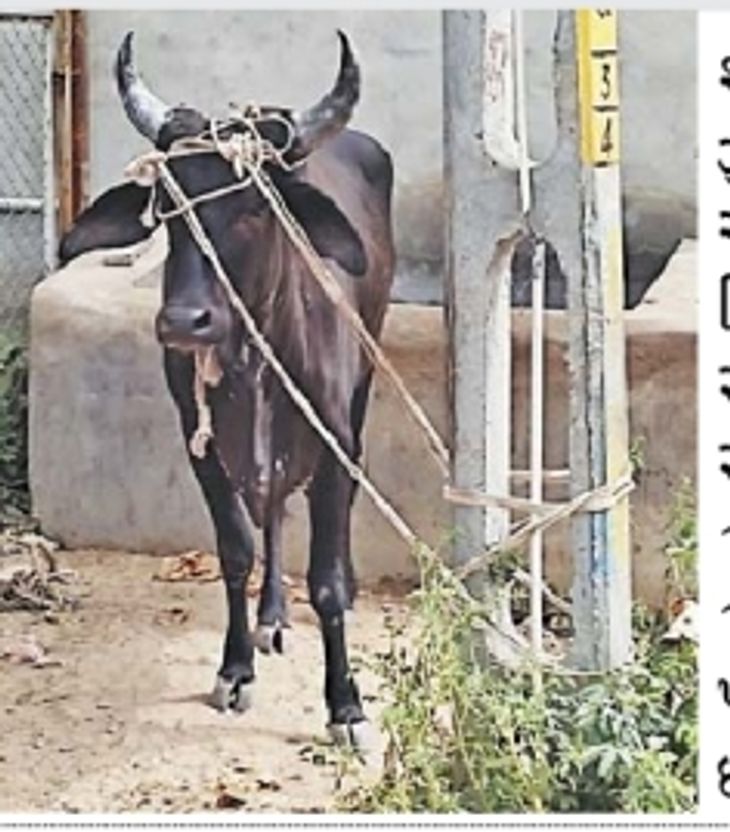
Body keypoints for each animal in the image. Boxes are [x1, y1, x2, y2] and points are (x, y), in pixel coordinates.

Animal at [58, 30, 395, 749]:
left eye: (253, 207)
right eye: (169, 210)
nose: (185, 321)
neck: (253, 360)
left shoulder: (332, 440)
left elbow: (325, 578)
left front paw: (346, 706)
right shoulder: (202, 446)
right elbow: (237, 549)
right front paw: (235, 669)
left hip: (363, 384)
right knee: (271, 512)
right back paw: (270, 617)